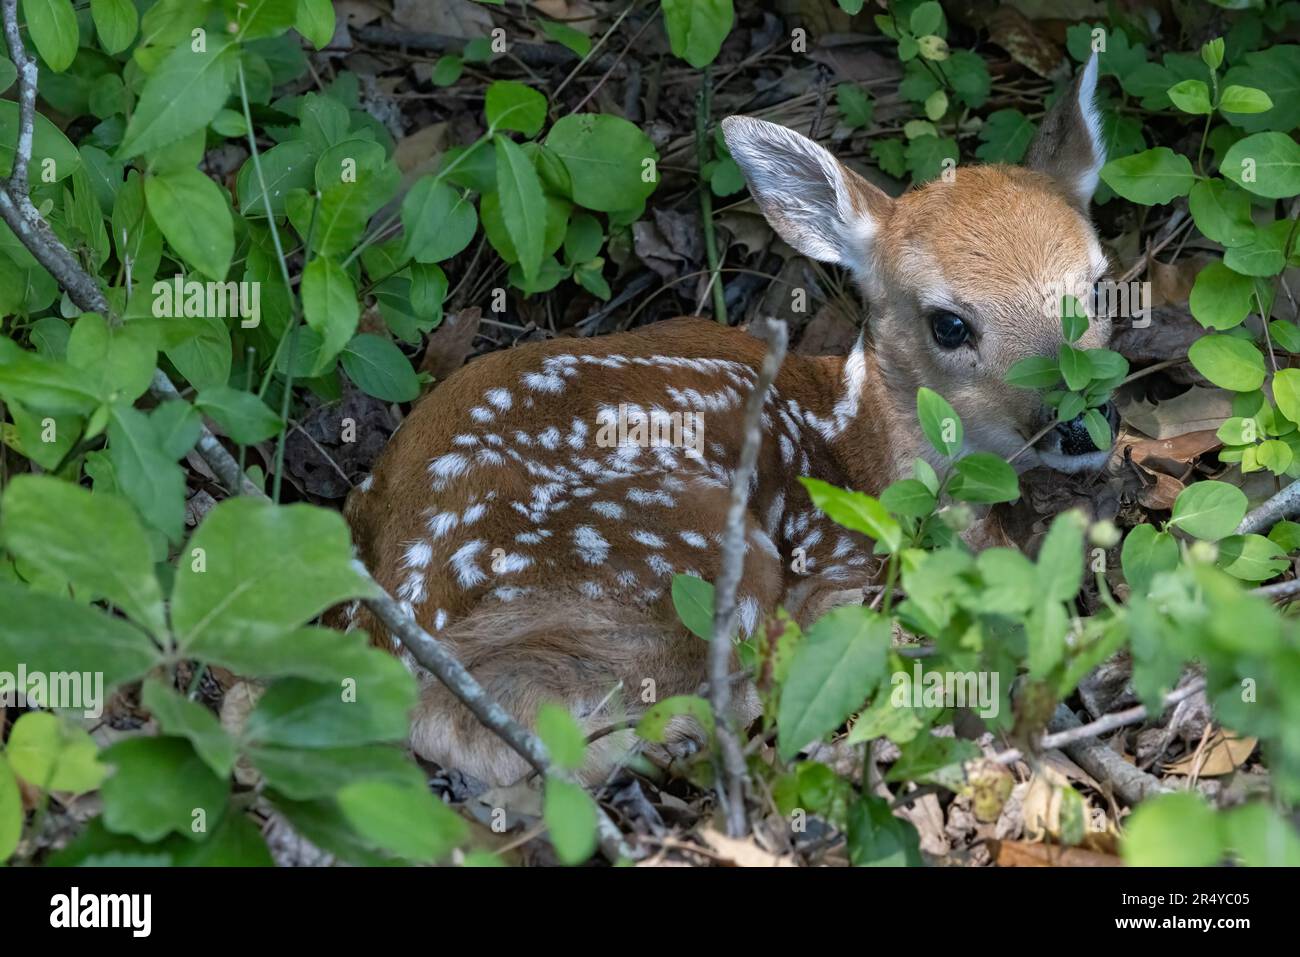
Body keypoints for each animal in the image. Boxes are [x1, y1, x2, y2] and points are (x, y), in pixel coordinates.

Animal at [340, 56, 1115, 786]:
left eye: (1100, 285)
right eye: (950, 324)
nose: (1079, 424)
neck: (860, 444)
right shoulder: (835, 553)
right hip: (680, 552)